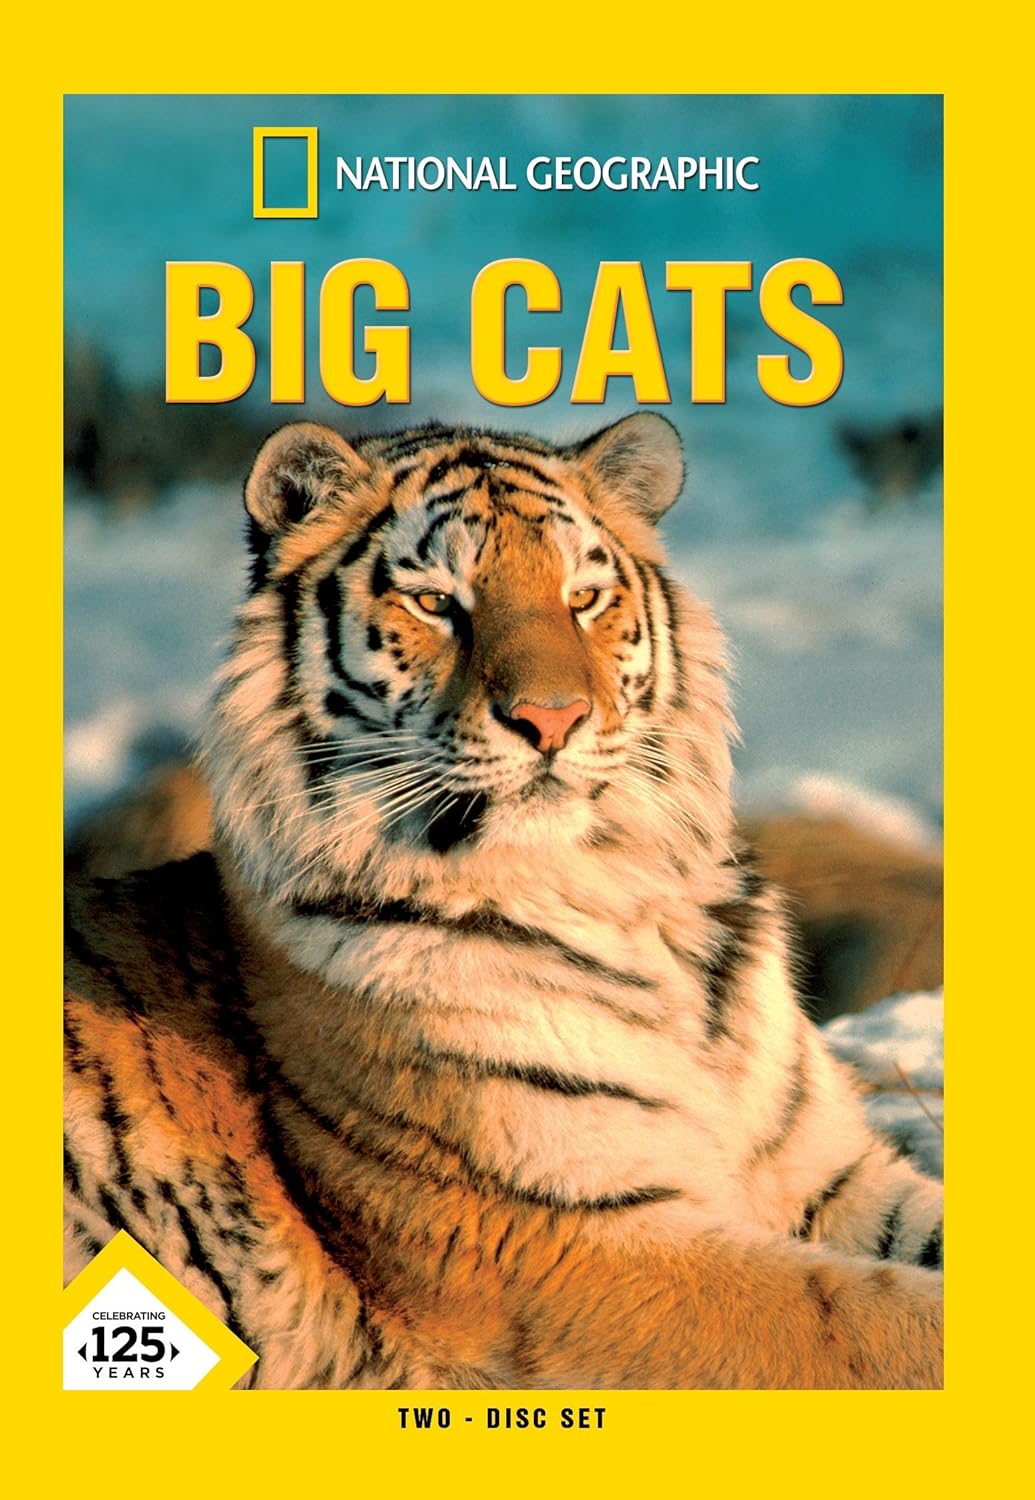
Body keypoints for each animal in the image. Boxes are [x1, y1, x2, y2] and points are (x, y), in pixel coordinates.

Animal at [64, 413, 943, 1389]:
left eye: (583, 597)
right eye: (436, 603)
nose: (552, 720)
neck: (613, 893)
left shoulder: (829, 1174)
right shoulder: (559, 1240)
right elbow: (872, 1318)